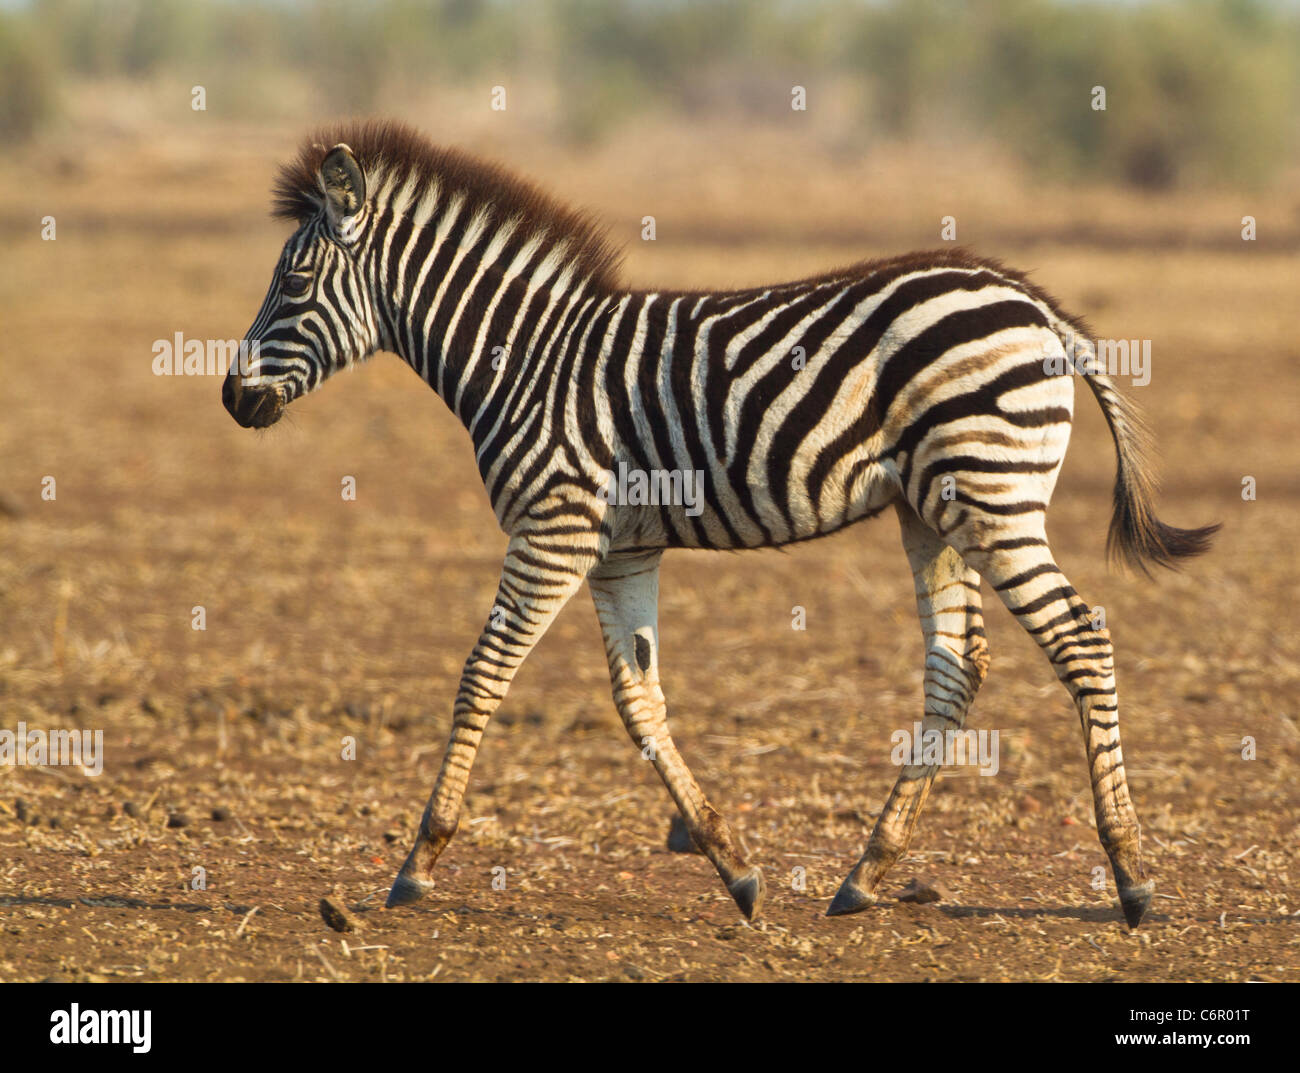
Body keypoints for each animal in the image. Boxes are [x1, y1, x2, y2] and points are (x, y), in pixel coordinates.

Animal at [222, 121, 1218, 927]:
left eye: (294, 281)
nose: (231, 398)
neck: (527, 361)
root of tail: (1034, 303)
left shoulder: (554, 528)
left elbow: (482, 674)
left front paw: (417, 862)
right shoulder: (620, 549)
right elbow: (638, 700)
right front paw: (734, 867)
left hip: (992, 494)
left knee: (1081, 637)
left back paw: (1131, 878)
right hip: (935, 509)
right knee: (956, 664)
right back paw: (865, 874)